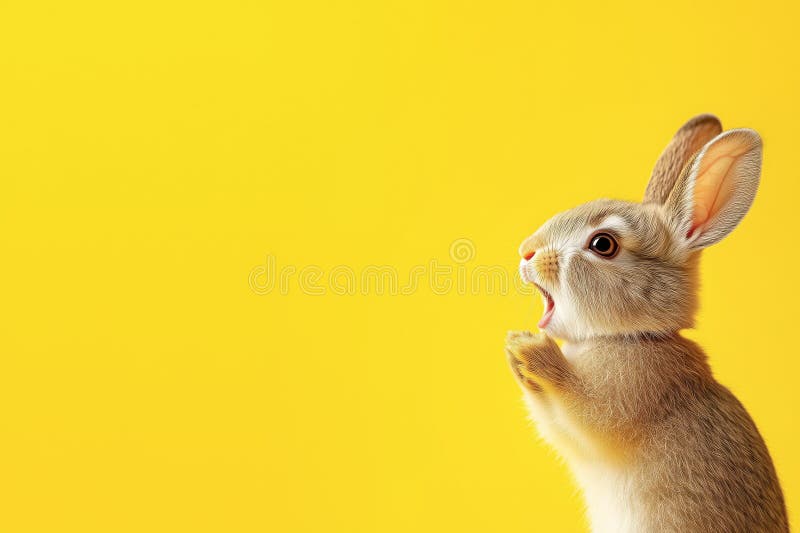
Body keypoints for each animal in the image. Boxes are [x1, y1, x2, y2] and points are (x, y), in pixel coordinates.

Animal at [505, 114, 788, 532]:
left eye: (603, 245)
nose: (527, 251)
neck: (631, 335)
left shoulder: (615, 402)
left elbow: (579, 404)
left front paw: (529, 350)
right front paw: (516, 348)